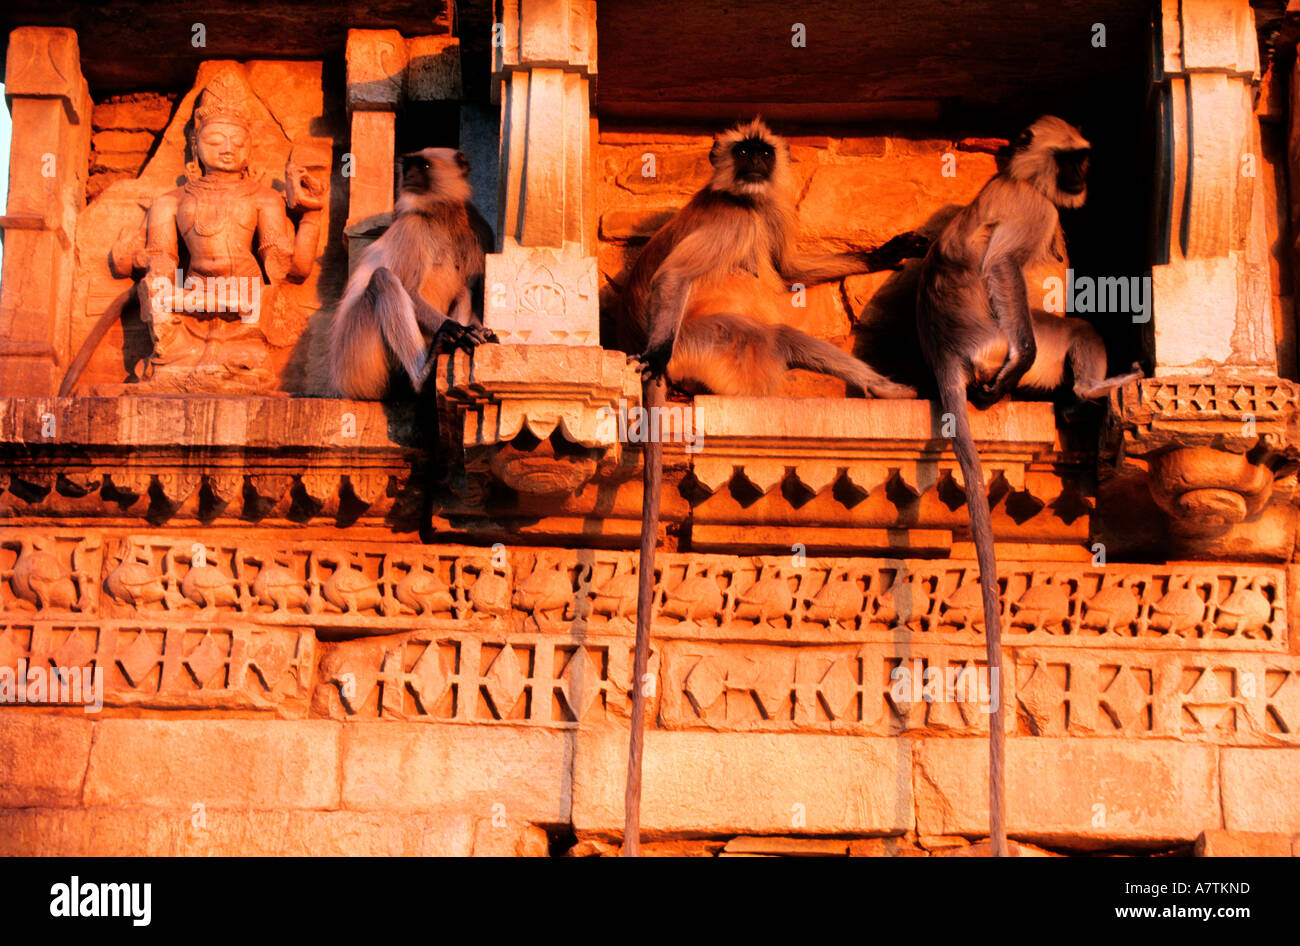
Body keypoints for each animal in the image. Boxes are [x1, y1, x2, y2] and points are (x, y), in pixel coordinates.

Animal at [326, 147, 497, 400]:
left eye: (424, 166)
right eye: (408, 167)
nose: (408, 177)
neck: (443, 214)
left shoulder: (480, 230)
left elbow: (474, 292)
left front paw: (477, 332)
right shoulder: (412, 227)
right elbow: (409, 290)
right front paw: (463, 332)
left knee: (465, 289)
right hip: (355, 361)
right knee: (383, 279)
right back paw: (423, 374)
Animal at [618, 118, 929, 856]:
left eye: (764, 151)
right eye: (745, 152)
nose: (757, 163)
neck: (747, 199)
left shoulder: (762, 211)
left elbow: (787, 267)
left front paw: (887, 252)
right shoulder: (736, 217)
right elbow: (677, 275)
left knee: (784, 333)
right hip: (712, 345)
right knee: (768, 337)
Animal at [915, 115, 1142, 857]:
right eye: (1071, 160)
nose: (1082, 178)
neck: (1020, 176)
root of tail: (945, 350)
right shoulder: (1035, 213)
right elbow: (1002, 265)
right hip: (1009, 341)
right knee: (1065, 326)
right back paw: (1090, 390)